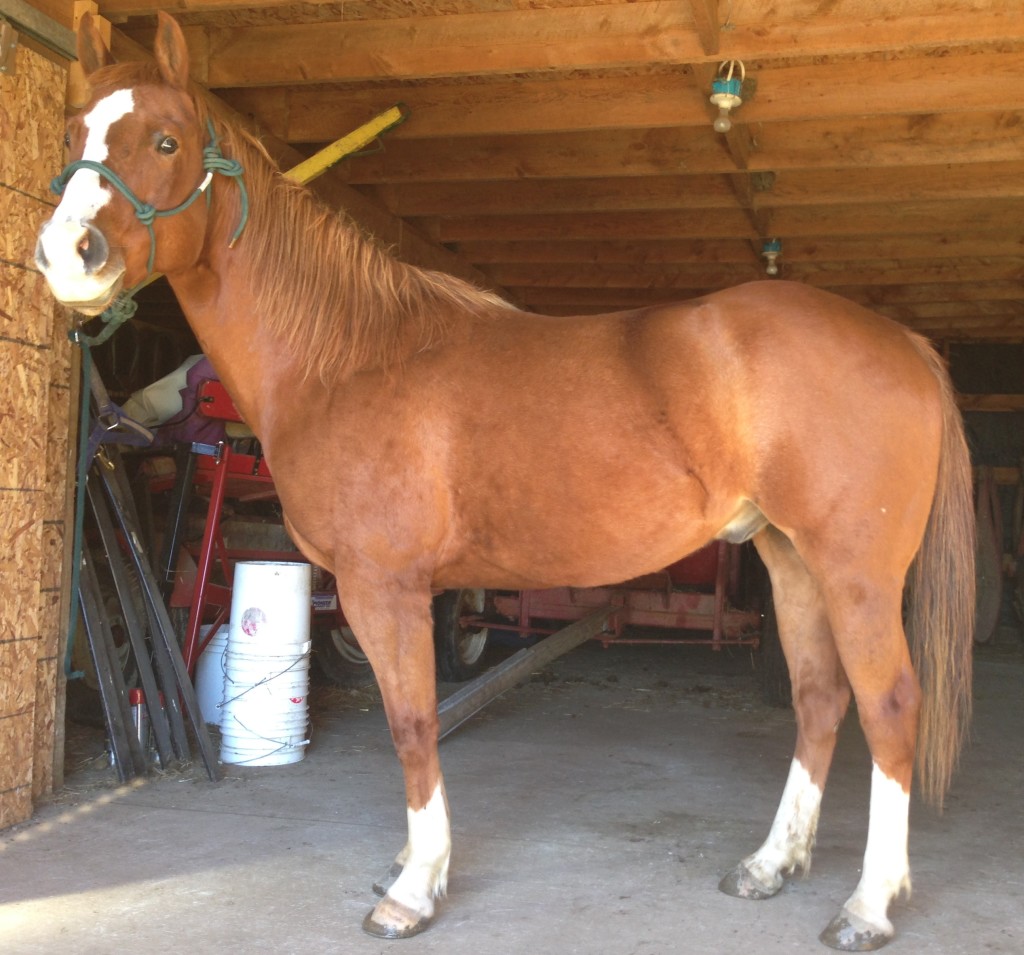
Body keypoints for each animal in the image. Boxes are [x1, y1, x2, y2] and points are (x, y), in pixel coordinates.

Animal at [36, 13, 974, 950]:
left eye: (166, 140)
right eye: (73, 134)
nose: (66, 255)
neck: (346, 358)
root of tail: (904, 343)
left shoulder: (384, 588)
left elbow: (413, 724)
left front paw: (414, 886)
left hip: (856, 573)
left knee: (890, 706)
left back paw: (867, 903)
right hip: (792, 562)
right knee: (820, 699)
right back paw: (770, 865)